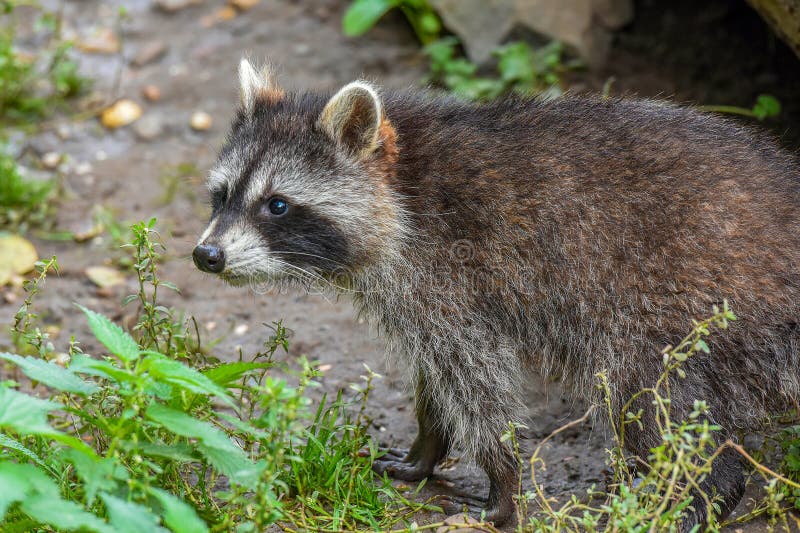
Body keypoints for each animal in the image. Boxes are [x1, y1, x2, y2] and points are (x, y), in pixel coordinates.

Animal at [193, 58, 800, 528]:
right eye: (222, 195)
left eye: (277, 205)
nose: (206, 256)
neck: (401, 183)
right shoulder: (418, 295)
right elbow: (437, 380)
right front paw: (426, 449)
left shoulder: (449, 274)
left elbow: (478, 383)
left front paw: (503, 483)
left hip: (687, 306)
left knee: (651, 398)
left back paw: (702, 493)